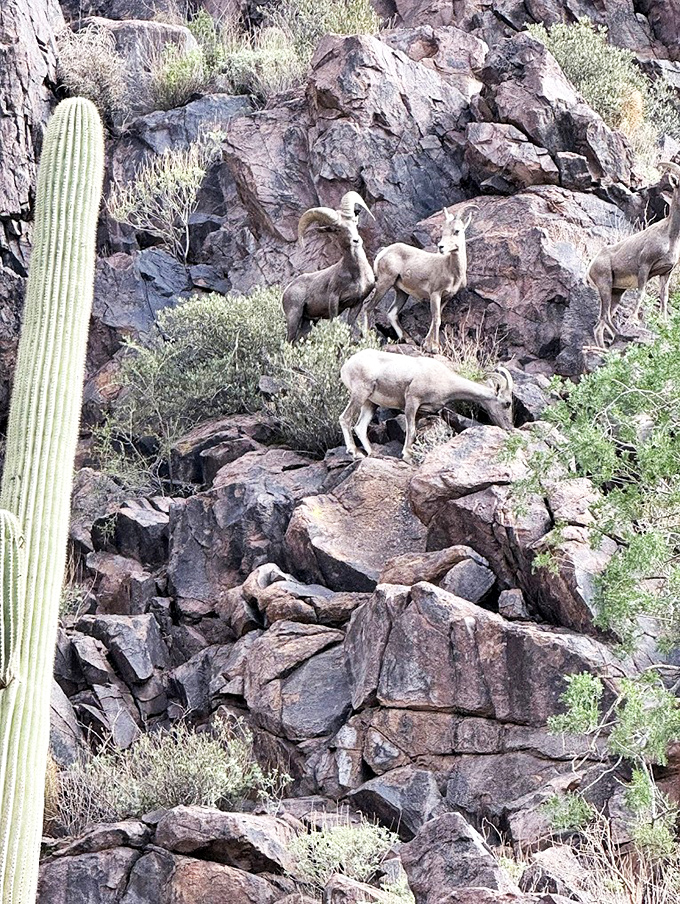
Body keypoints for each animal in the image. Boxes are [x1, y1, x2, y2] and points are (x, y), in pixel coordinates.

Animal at [282, 191, 375, 342]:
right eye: (338, 229)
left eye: (354, 222)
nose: (356, 240)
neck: (357, 274)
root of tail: (286, 290)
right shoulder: (334, 301)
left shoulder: (357, 303)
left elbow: (350, 326)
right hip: (294, 316)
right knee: (289, 341)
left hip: (308, 321)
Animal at [339, 348, 514, 462]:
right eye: (507, 403)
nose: (509, 428)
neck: (445, 380)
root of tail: (347, 365)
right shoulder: (412, 402)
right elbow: (411, 431)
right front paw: (407, 456)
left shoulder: (421, 412)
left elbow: (413, 432)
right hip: (360, 394)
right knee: (345, 419)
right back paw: (355, 453)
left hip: (369, 403)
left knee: (360, 427)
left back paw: (373, 454)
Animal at [364, 206, 473, 354]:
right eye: (443, 230)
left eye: (456, 231)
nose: (441, 247)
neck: (451, 270)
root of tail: (383, 252)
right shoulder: (435, 294)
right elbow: (437, 319)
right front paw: (435, 348)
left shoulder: (446, 297)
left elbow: (435, 319)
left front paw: (427, 345)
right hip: (384, 283)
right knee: (368, 308)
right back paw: (366, 337)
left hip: (401, 292)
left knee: (392, 313)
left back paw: (408, 340)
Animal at [589, 162, 680, 348]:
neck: (670, 236)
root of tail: (591, 266)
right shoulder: (645, 267)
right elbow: (641, 293)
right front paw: (633, 321)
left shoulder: (666, 272)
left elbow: (664, 297)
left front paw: (664, 322)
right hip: (605, 285)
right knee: (605, 317)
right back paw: (619, 335)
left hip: (616, 293)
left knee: (599, 325)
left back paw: (604, 349)